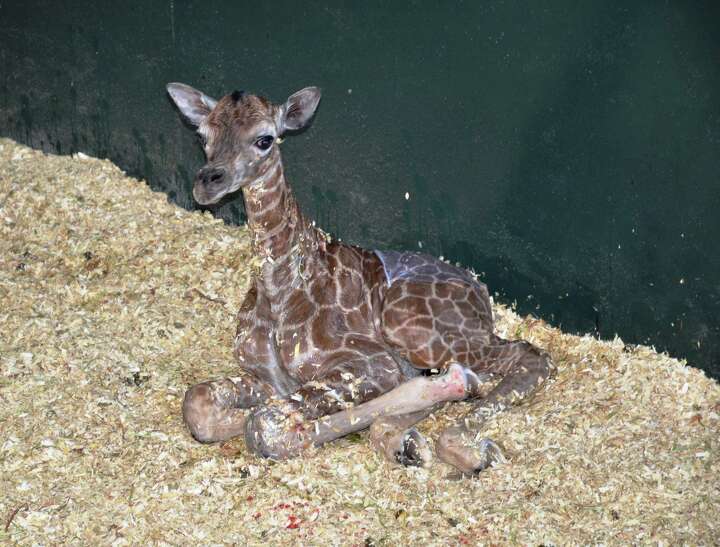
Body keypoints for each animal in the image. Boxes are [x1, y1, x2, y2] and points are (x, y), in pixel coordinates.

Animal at [166, 83, 555, 475]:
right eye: (203, 135)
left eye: (264, 139)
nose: (208, 182)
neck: (276, 293)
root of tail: (481, 293)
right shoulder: (267, 378)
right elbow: (198, 404)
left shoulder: (370, 364)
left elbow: (263, 425)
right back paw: (410, 440)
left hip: (414, 332)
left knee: (531, 354)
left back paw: (466, 445)